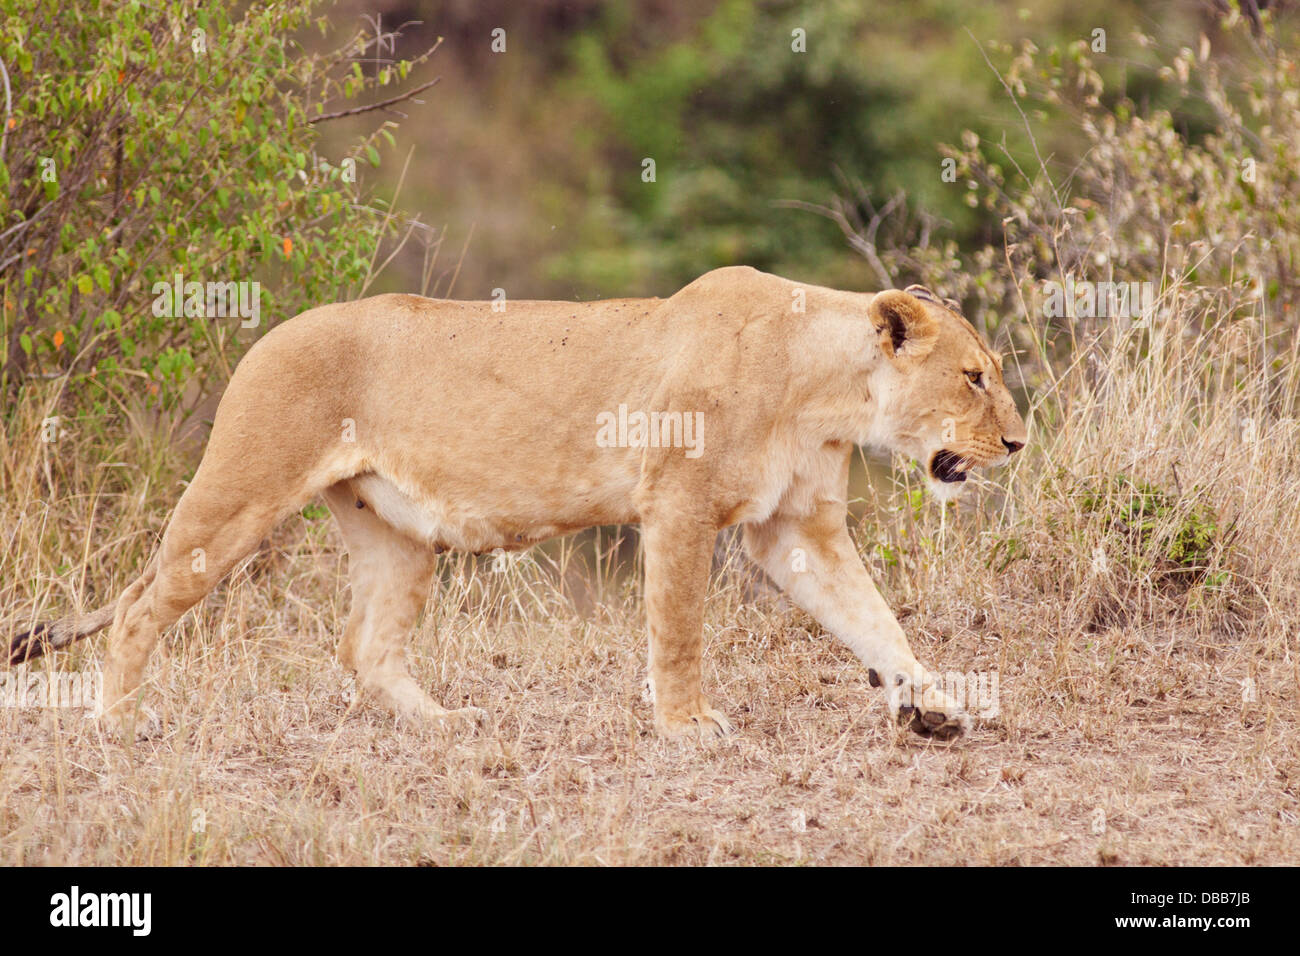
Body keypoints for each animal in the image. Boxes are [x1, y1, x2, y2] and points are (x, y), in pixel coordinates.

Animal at [9, 267, 1026, 742]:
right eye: (974, 378)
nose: (1018, 444)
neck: (823, 390)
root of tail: (266, 335)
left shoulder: (798, 528)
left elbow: (875, 620)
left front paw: (933, 706)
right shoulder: (679, 503)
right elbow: (679, 629)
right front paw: (687, 725)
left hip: (396, 535)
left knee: (363, 645)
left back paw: (442, 724)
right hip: (240, 491)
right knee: (140, 605)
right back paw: (117, 719)